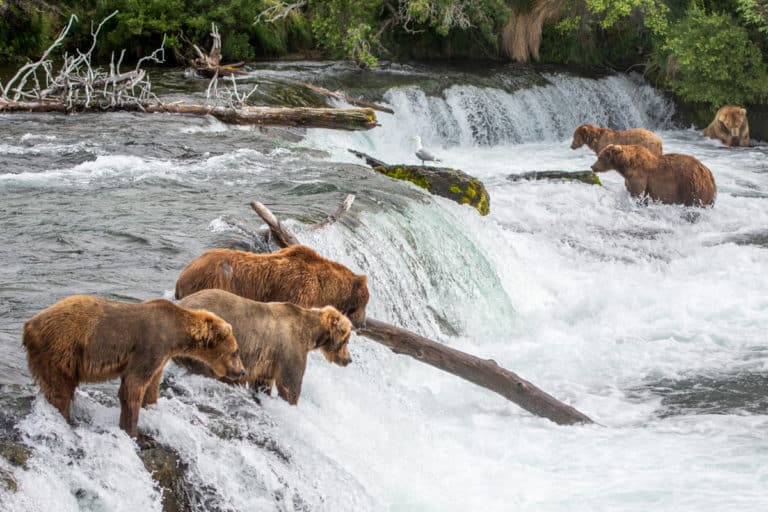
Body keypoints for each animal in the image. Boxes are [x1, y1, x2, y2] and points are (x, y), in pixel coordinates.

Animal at [22, 295, 246, 437]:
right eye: (236, 351)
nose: (241, 371)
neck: (175, 334)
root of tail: (29, 325)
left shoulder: (161, 357)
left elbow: (152, 384)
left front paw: (151, 406)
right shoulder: (150, 345)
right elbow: (133, 385)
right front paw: (133, 431)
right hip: (62, 348)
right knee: (60, 388)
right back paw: (65, 417)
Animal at [175, 245, 369, 328]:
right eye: (365, 303)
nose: (362, 324)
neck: (322, 287)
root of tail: (183, 274)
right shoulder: (299, 289)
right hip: (211, 281)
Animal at [175, 289, 352, 405]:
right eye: (346, 340)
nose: (348, 360)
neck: (309, 334)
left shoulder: (267, 360)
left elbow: (263, 382)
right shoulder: (290, 349)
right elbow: (290, 385)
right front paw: (290, 401)